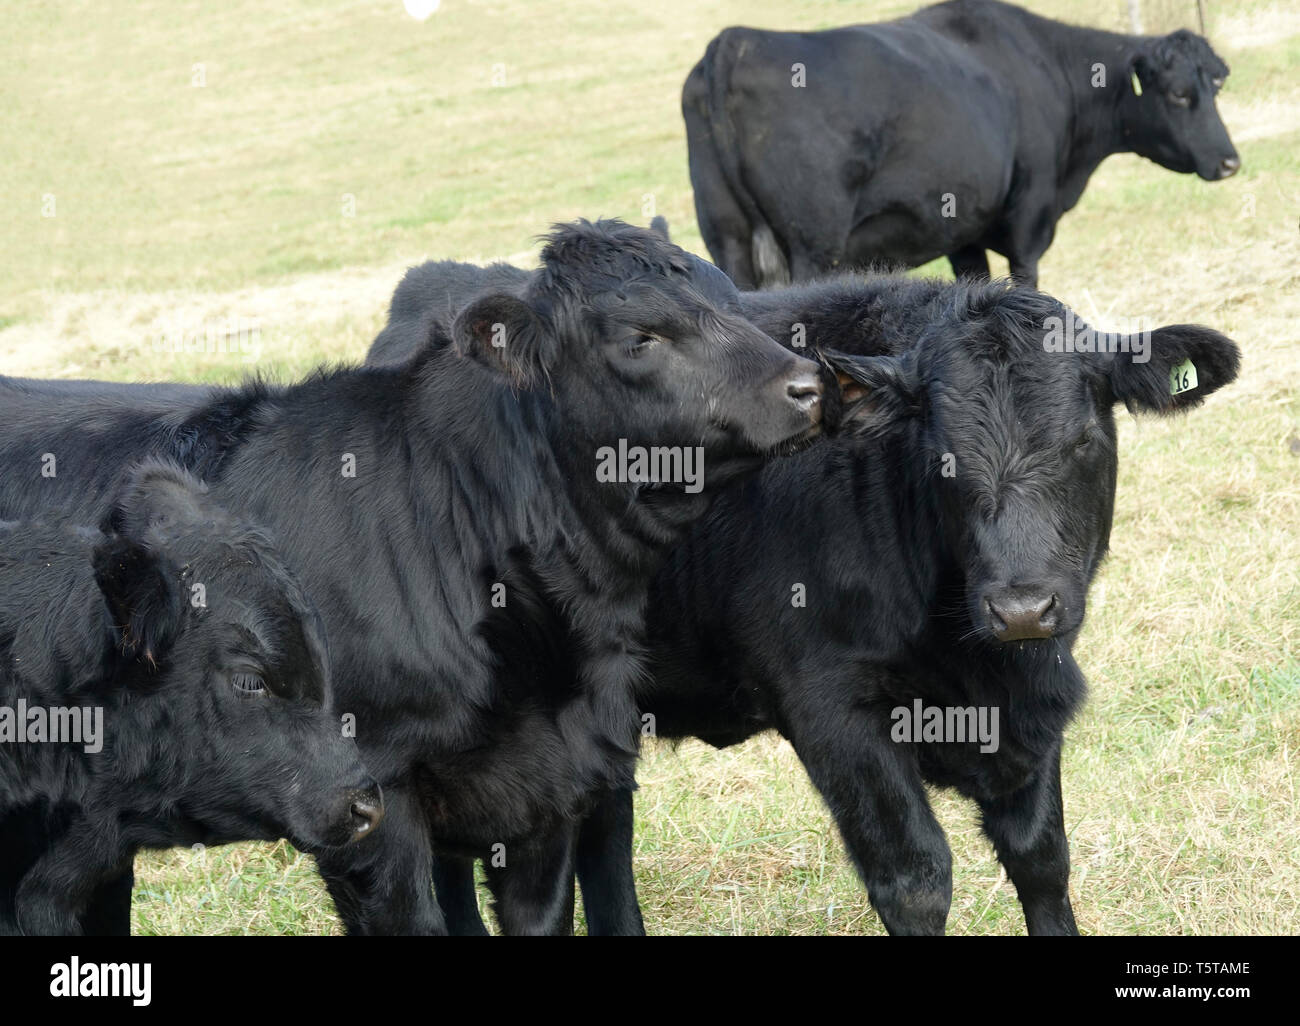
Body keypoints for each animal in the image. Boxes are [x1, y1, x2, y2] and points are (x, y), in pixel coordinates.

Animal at [421, 274, 1241, 935]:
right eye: (941, 457)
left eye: (1084, 442)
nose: (1020, 609)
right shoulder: (831, 710)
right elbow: (915, 879)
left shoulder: (1031, 712)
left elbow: (1042, 859)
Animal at [683, 0, 1240, 289]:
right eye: (1179, 94)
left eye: (1216, 86)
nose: (1230, 162)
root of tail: (734, 41)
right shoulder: (1029, 221)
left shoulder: (962, 231)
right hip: (815, 249)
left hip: (728, 241)